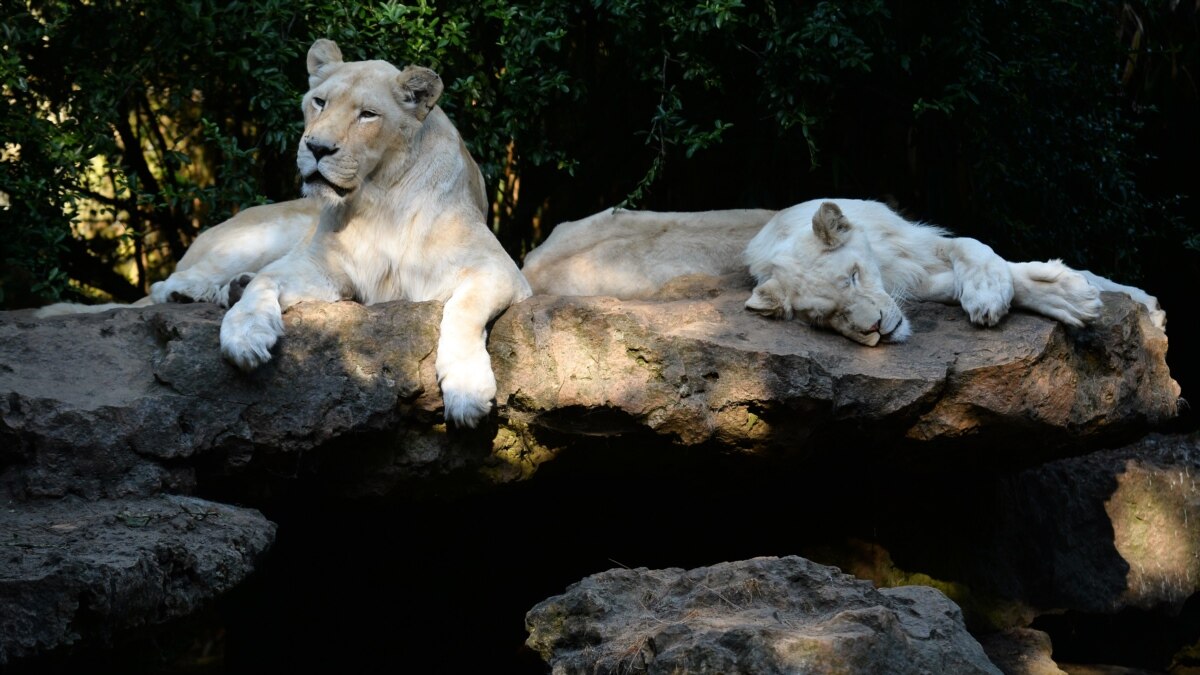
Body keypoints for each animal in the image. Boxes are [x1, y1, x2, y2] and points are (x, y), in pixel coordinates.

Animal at [40, 40, 531, 428]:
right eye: (319, 102)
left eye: (367, 115)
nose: (317, 148)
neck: (378, 197)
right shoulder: (318, 266)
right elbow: (266, 280)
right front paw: (244, 336)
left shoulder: (501, 269)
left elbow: (462, 309)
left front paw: (466, 391)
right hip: (270, 232)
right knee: (164, 285)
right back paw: (198, 292)